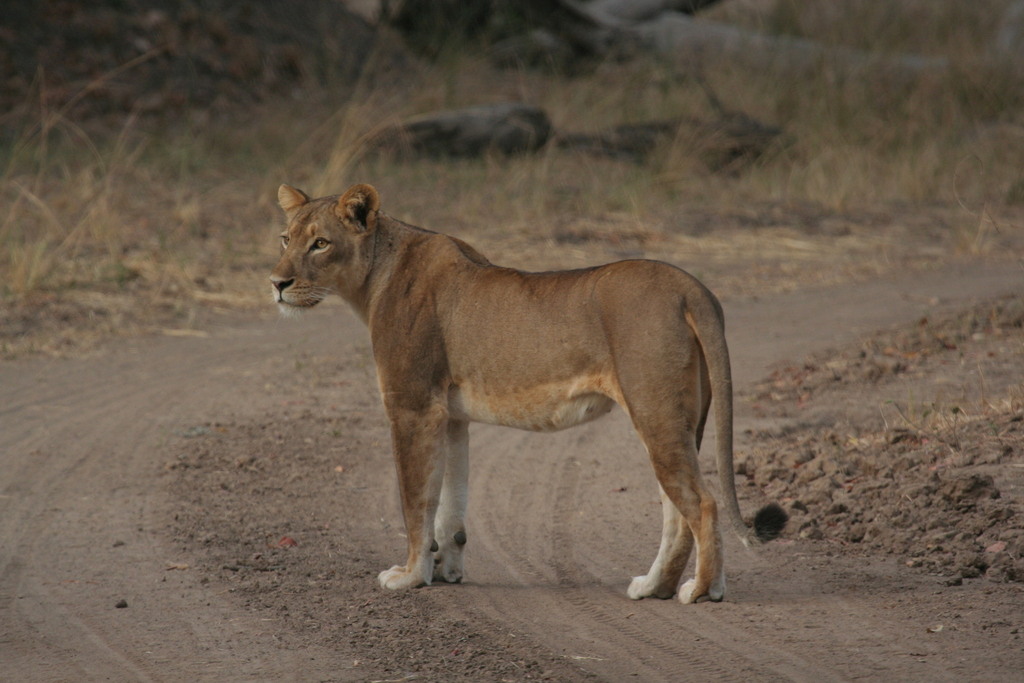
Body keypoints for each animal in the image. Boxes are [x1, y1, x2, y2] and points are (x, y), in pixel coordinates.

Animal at [269, 183, 787, 603]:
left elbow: (416, 501)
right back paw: (653, 586)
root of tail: (690, 285)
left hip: (655, 412)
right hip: (679, 419)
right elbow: (450, 505)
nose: (276, 283)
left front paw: (410, 575)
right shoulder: (450, 416)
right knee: (676, 510)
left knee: (701, 503)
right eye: (285, 239)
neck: (375, 274)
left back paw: (701, 590)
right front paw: (445, 569)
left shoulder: (411, 408)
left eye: (320, 243)